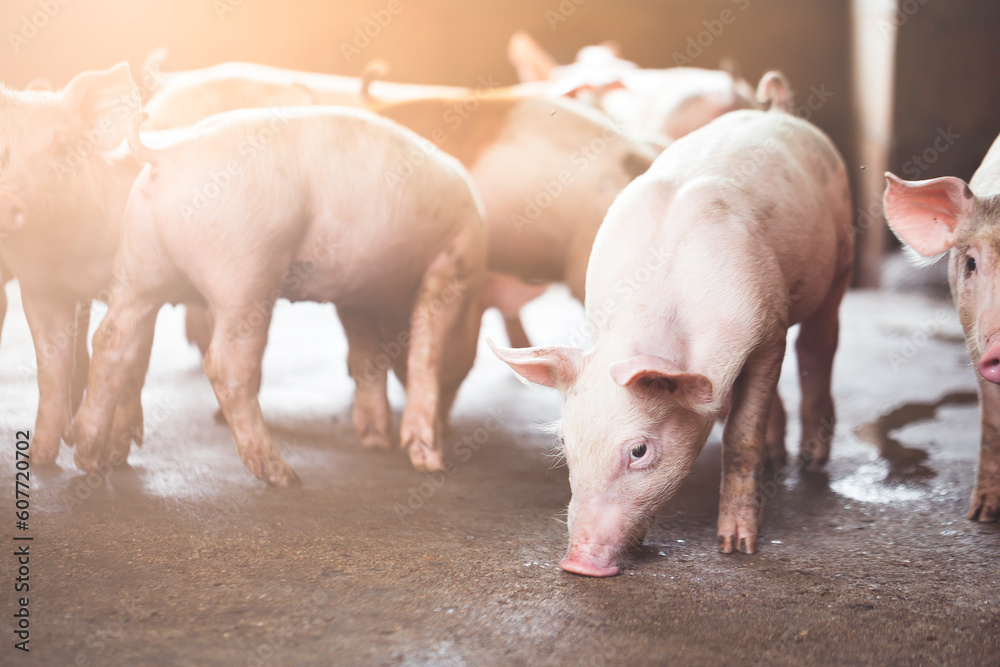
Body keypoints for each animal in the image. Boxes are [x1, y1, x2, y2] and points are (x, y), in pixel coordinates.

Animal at [0, 63, 145, 464]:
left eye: (63, 149)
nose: (8, 197)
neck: (67, 258)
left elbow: (127, 361)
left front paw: (108, 458)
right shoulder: (40, 292)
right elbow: (52, 368)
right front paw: (39, 458)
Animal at [67, 107, 487, 482]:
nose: (447, 426)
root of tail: (167, 156)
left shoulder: (355, 294)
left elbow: (366, 356)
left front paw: (376, 440)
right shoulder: (453, 262)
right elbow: (425, 354)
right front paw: (430, 462)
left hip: (139, 267)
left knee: (112, 341)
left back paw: (93, 459)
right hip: (245, 273)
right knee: (225, 365)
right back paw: (282, 475)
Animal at [492, 108, 853, 576]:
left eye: (639, 451)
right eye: (565, 443)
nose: (578, 564)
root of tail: (773, 110)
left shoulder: (769, 330)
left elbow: (742, 435)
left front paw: (737, 547)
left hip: (841, 253)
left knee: (819, 344)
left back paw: (812, 460)